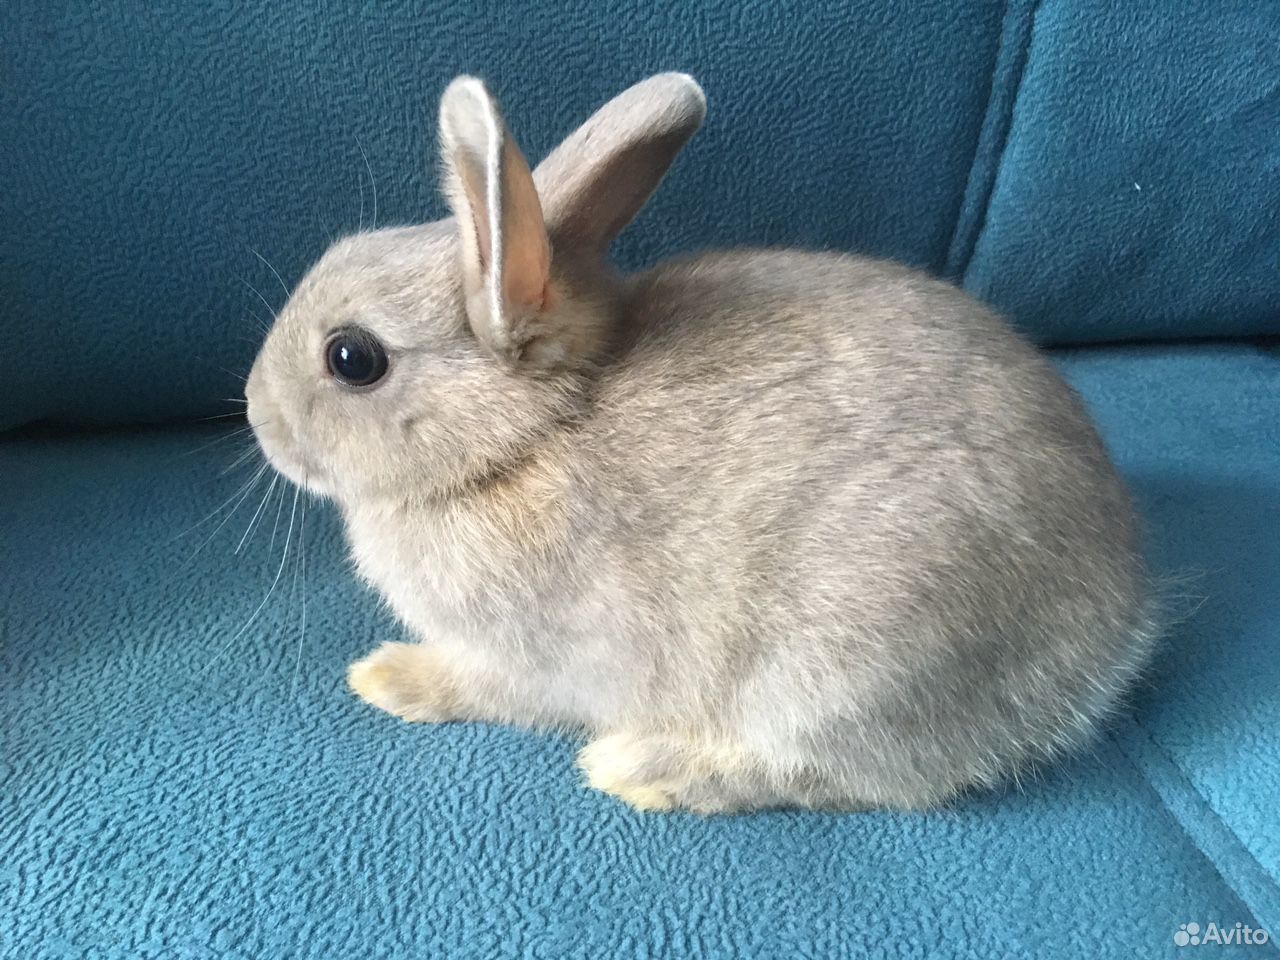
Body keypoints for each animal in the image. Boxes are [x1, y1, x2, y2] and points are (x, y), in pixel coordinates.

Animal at [245, 73, 1157, 814]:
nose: (255, 414)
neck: (522, 444)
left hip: (841, 669)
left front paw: (386, 678)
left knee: (842, 777)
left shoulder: (518, 658)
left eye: (352, 358)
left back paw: (642, 769)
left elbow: (475, 686)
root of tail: (1113, 638)